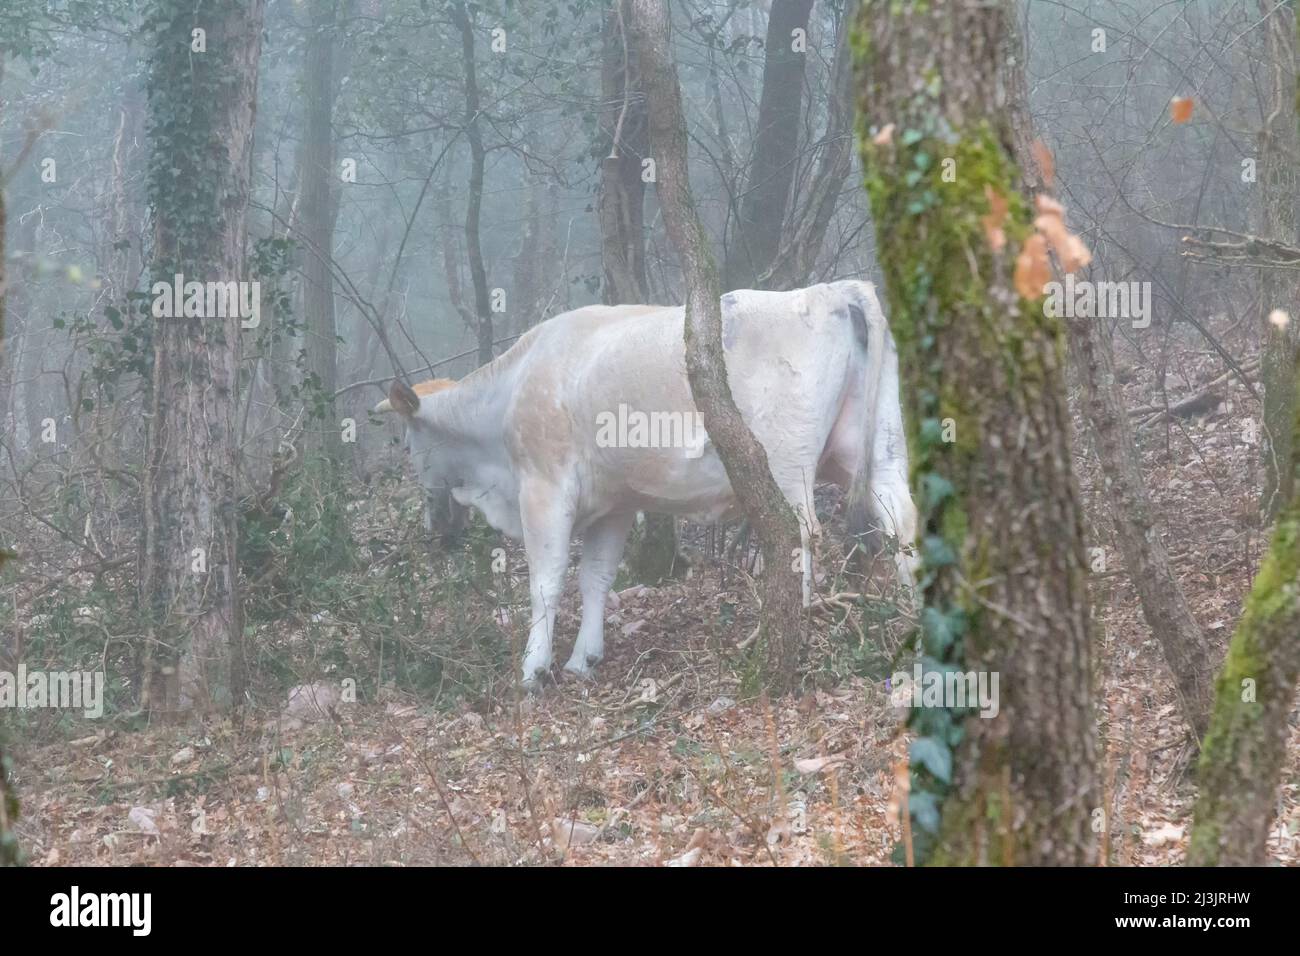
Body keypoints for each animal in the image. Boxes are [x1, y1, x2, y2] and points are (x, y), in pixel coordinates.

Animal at [376, 280, 919, 687]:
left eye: (405, 444)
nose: (433, 529)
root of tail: (833, 289)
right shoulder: (614, 504)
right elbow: (595, 577)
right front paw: (583, 659)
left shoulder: (544, 488)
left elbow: (546, 581)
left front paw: (534, 670)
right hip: (875, 447)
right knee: (901, 521)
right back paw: (911, 610)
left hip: (787, 463)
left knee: (797, 534)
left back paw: (787, 626)